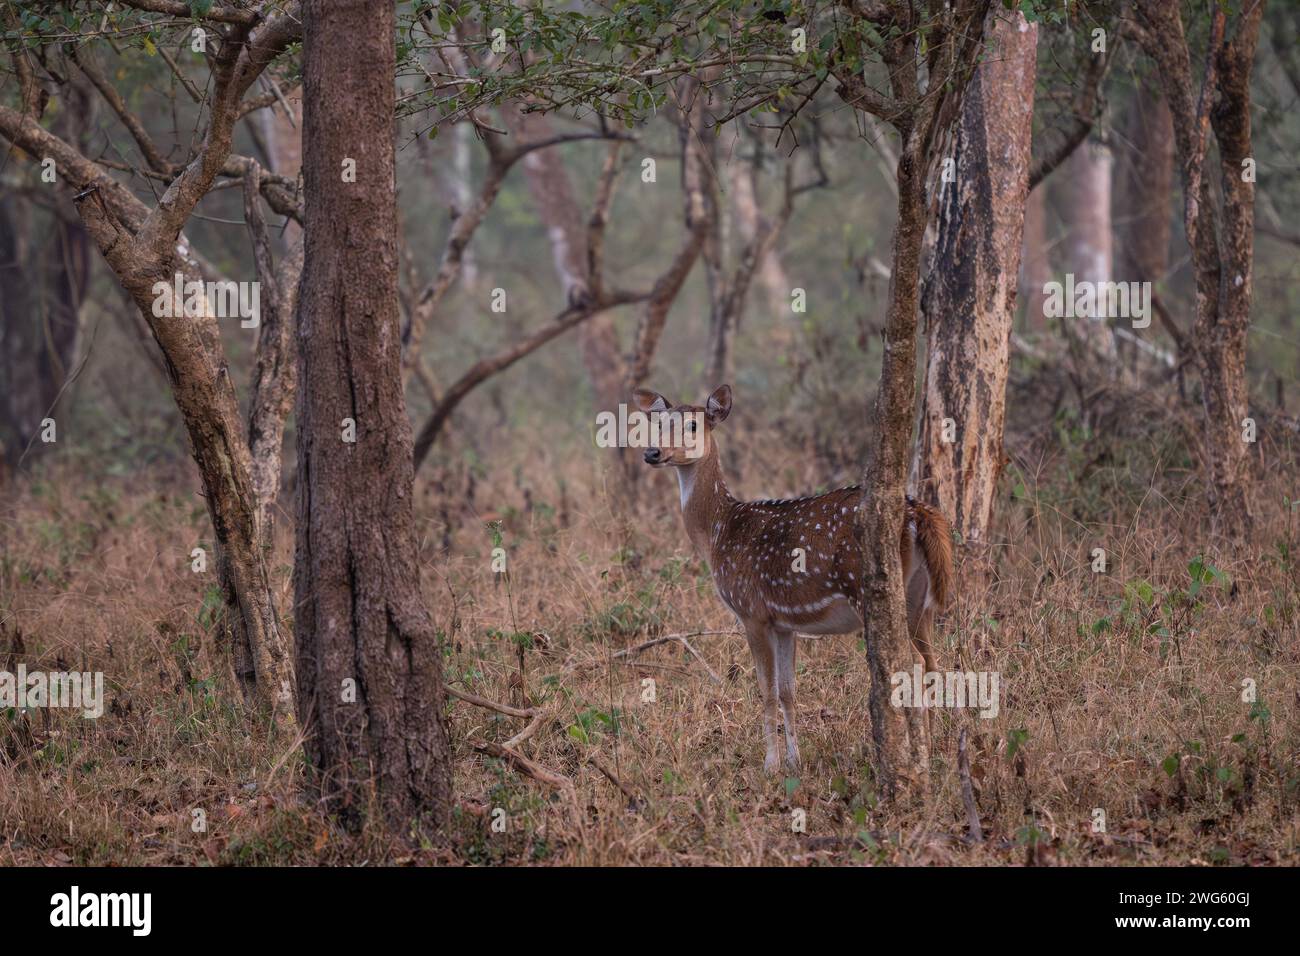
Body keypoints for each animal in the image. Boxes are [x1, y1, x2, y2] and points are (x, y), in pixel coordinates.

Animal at [633, 384, 953, 774]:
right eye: (658, 423)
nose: (652, 453)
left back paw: (917, 756)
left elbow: (767, 690)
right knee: (933, 661)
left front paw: (769, 765)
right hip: (919, 599)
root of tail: (919, 514)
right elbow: (788, 690)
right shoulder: (784, 622)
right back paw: (935, 749)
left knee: (913, 661)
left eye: (693, 425)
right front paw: (794, 760)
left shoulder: (751, 611)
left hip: (870, 590)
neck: (719, 533)